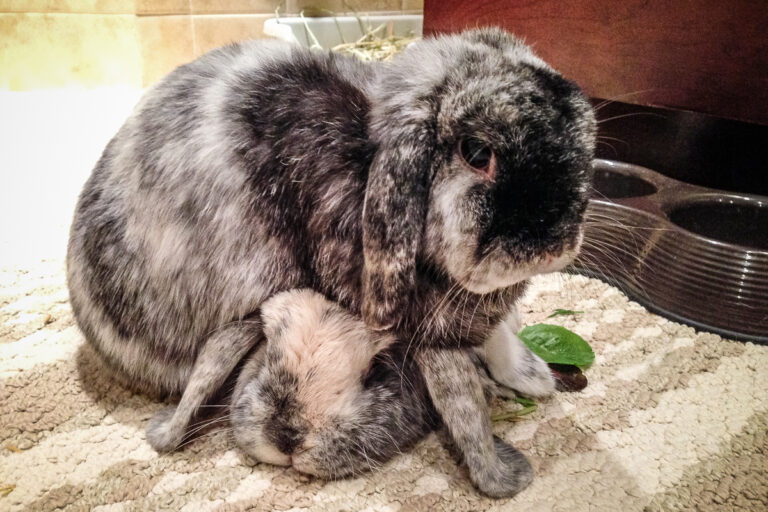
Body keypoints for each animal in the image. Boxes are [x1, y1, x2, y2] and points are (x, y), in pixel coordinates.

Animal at [67, 27, 596, 497]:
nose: (552, 245)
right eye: (477, 152)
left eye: (583, 153)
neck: (362, 166)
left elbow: (500, 336)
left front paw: (533, 380)